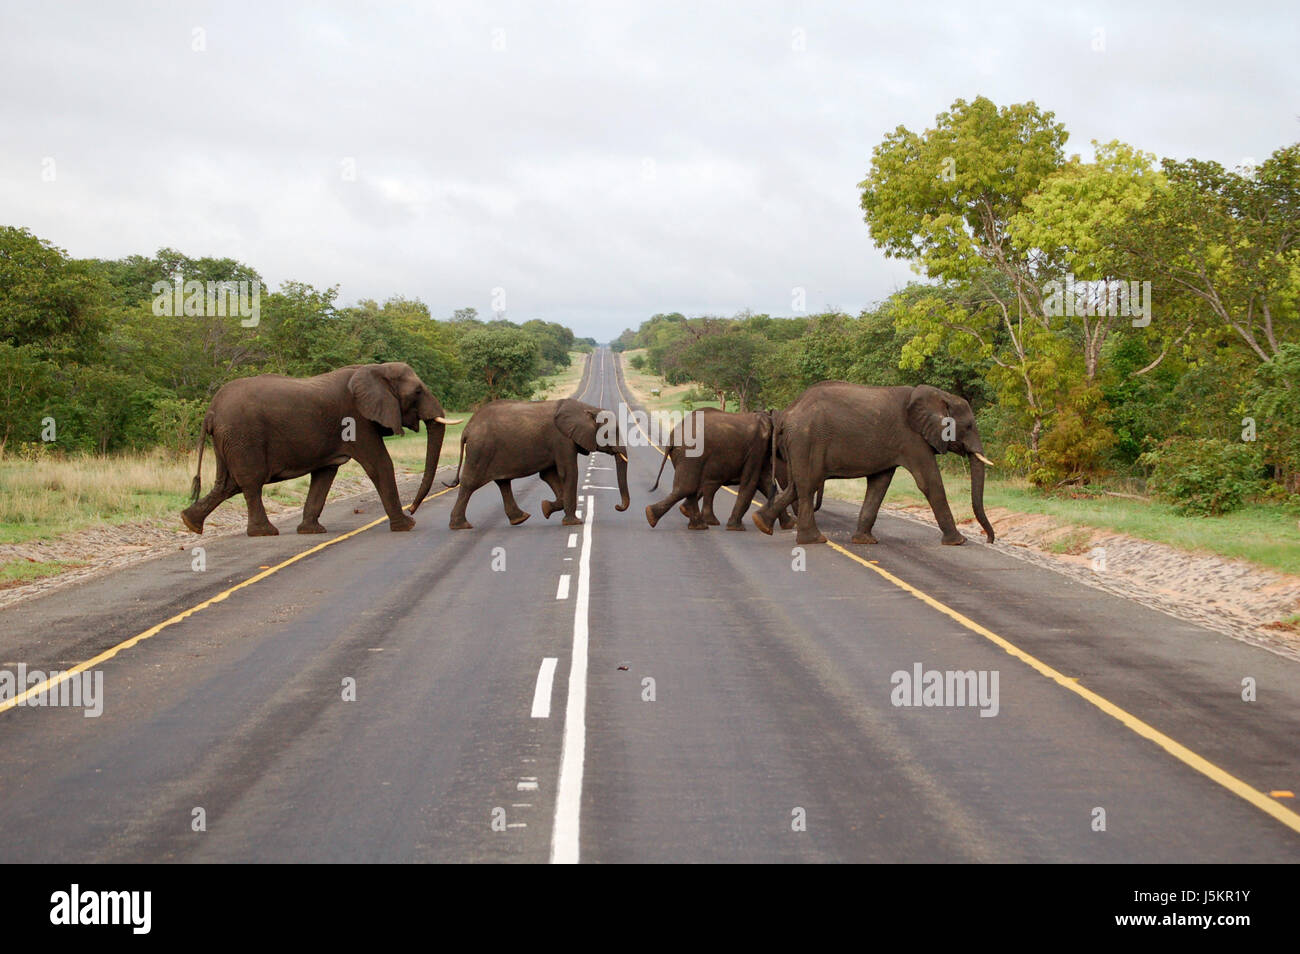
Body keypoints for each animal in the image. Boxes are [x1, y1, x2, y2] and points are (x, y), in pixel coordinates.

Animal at [181, 362, 460, 537]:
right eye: (418, 391)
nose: (412, 508)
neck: (375, 369)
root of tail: (210, 412)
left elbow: (325, 474)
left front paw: (311, 531)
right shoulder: (356, 420)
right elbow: (380, 464)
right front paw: (407, 525)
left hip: (228, 439)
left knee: (227, 484)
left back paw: (190, 523)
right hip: (243, 436)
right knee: (250, 483)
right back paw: (264, 532)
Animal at [434, 398, 631, 529]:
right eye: (611, 432)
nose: (617, 506)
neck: (587, 408)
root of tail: (467, 429)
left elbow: (548, 475)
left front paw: (546, 508)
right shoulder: (562, 440)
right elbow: (568, 472)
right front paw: (573, 523)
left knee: (503, 482)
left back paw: (520, 519)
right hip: (481, 450)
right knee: (470, 483)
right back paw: (461, 526)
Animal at [644, 408, 792, 530]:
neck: (770, 417)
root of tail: (672, 437)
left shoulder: (762, 450)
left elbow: (765, 482)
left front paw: (788, 525)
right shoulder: (757, 446)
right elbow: (752, 481)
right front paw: (736, 528)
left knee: (692, 487)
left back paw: (698, 526)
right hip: (690, 453)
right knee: (688, 487)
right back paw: (651, 516)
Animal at [752, 382, 996, 546]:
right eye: (969, 426)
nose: (990, 540)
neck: (940, 396)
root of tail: (787, 413)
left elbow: (879, 485)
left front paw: (864, 541)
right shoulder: (913, 440)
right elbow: (930, 483)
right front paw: (959, 542)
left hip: (798, 445)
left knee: (796, 485)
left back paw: (761, 524)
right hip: (807, 440)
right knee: (807, 485)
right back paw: (814, 540)